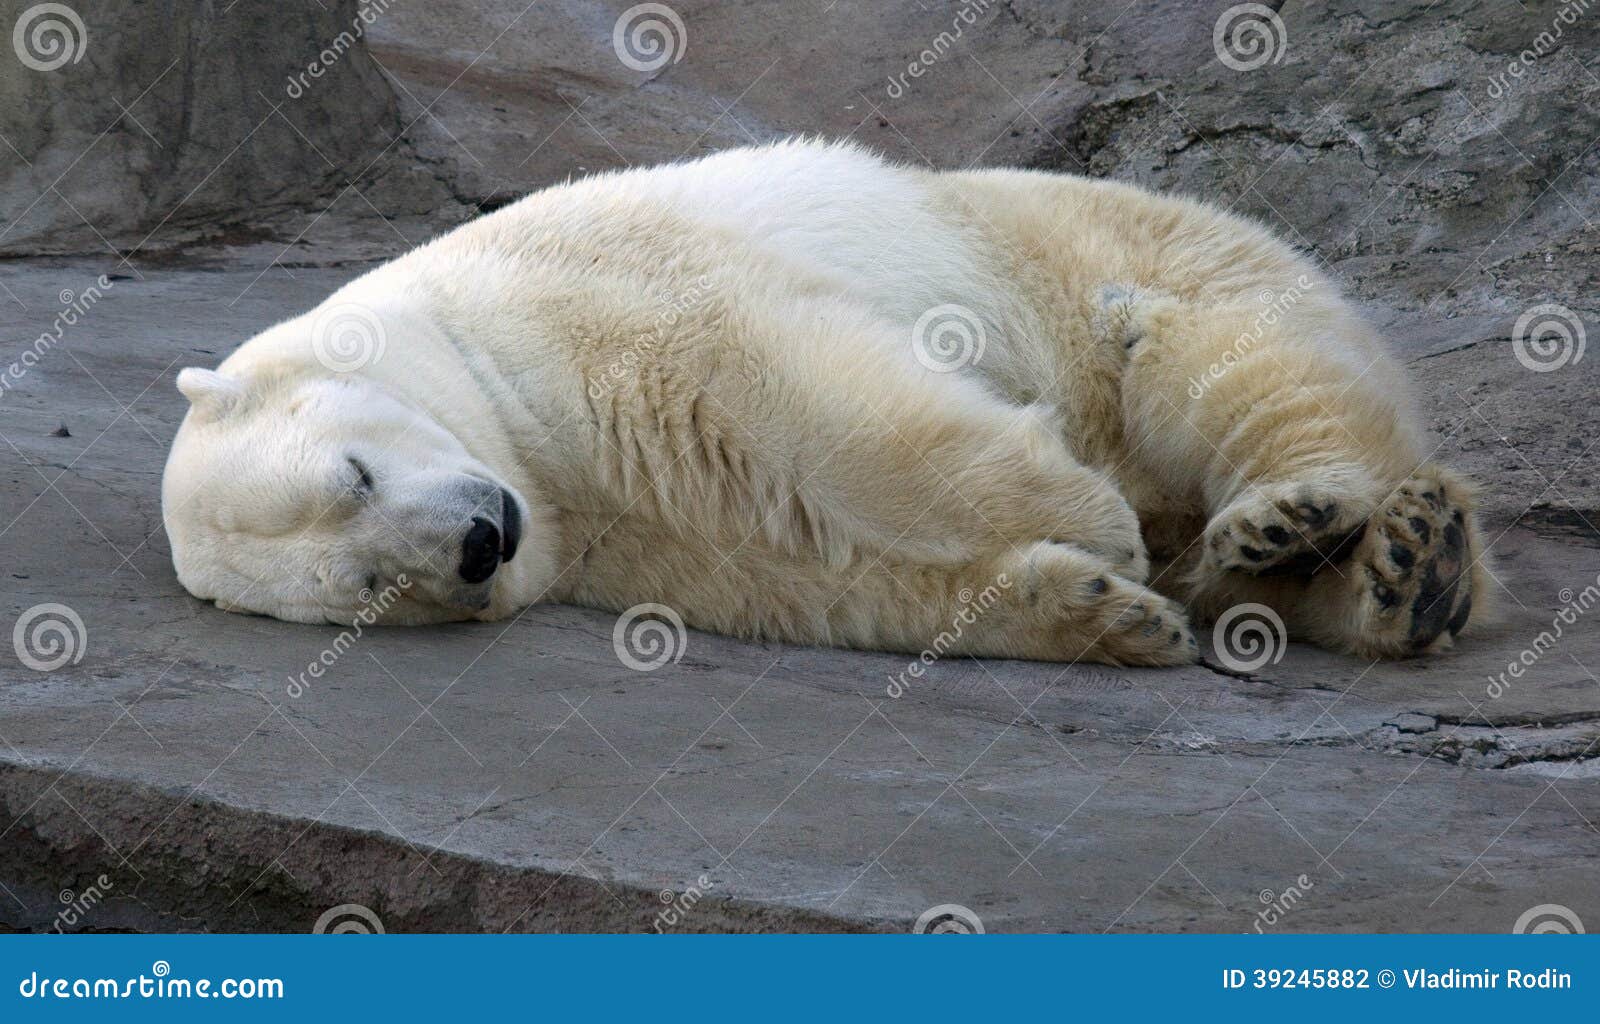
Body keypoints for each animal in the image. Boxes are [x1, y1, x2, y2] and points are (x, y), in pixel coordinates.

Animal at [161, 139, 1485, 666]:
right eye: (368, 584)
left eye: (353, 474)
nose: (481, 543)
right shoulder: (614, 533)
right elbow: (820, 575)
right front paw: (1102, 607)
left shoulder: (585, 301)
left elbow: (802, 393)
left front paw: (1086, 520)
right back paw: (1394, 578)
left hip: (1109, 253)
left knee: (1231, 366)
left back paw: (1306, 517)